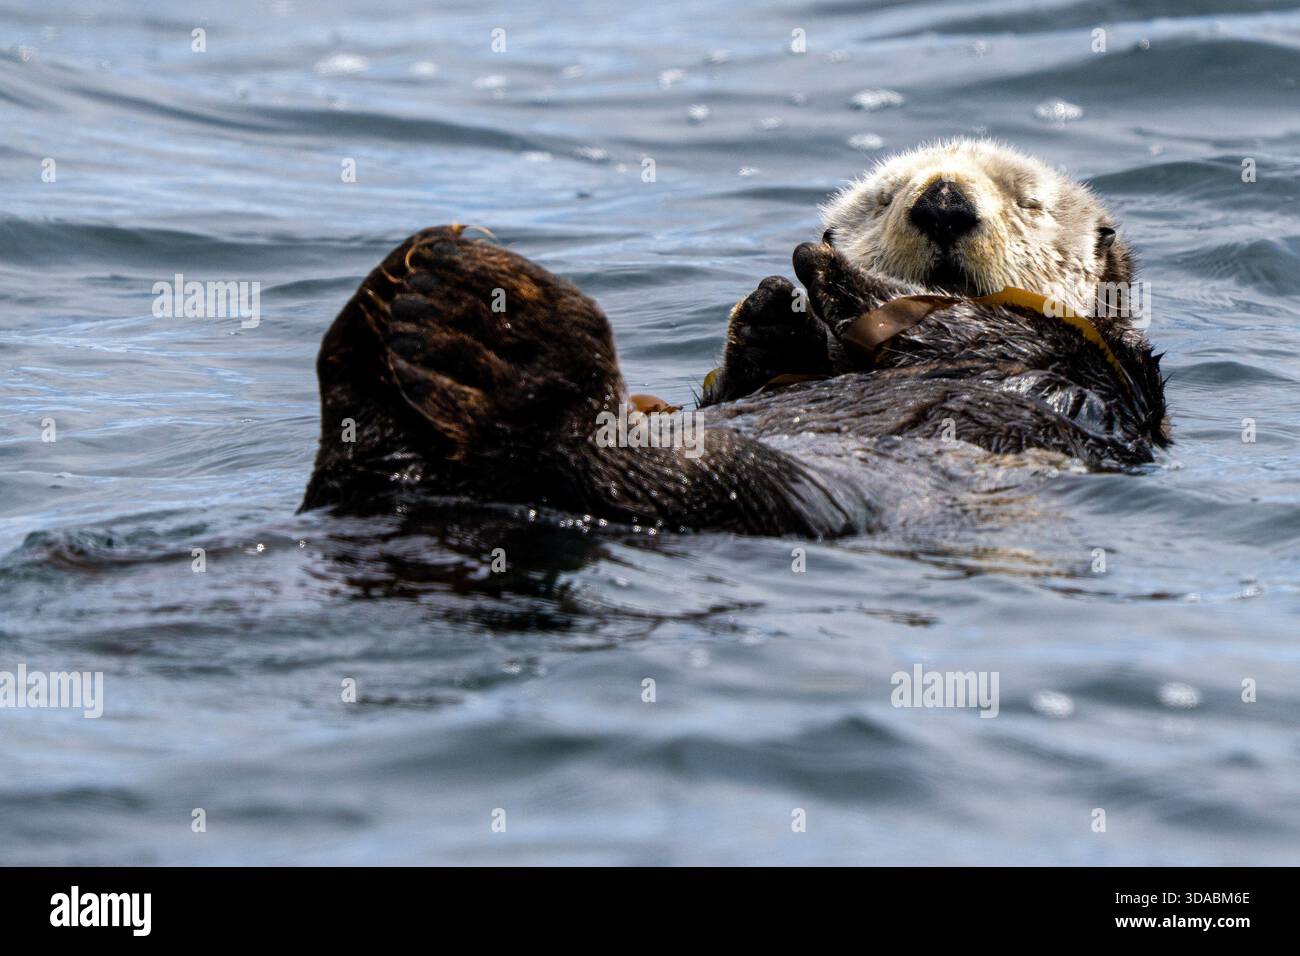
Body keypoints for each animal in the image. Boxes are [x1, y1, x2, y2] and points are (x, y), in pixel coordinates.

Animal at [301, 140, 1168, 538]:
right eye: (886, 196)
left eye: (1028, 202)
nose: (945, 202)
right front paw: (770, 310)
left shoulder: (1087, 364)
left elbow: (973, 327)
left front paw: (825, 274)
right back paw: (417, 309)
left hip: (775, 495)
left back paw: (496, 340)